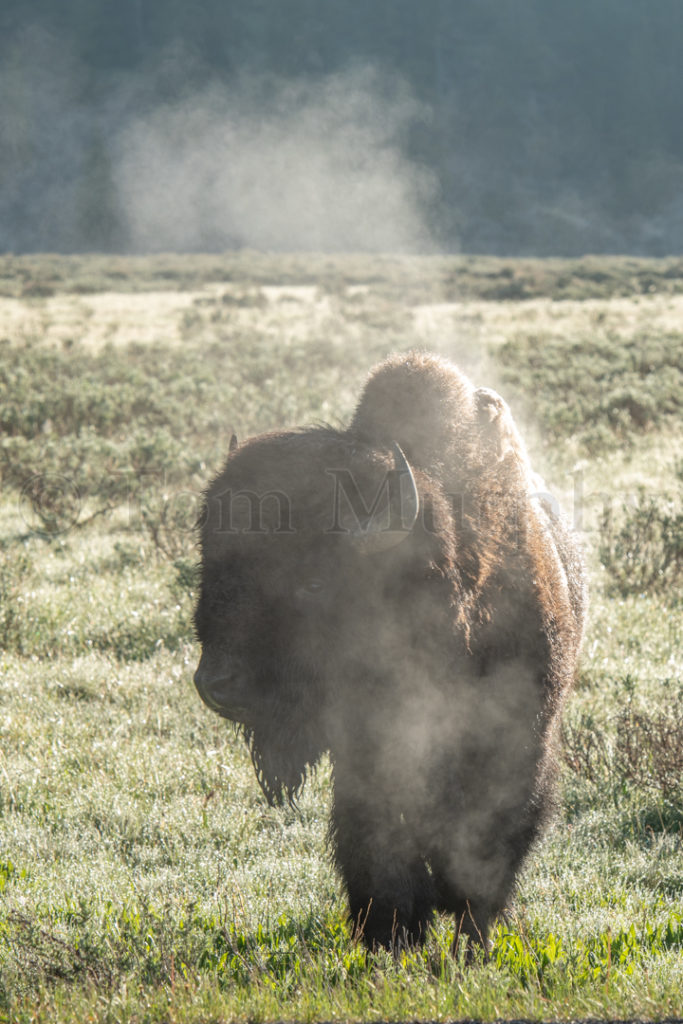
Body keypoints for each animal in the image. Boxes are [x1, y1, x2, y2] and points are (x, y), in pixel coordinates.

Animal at [193, 351, 586, 956]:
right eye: (206, 566)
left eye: (313, 582)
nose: (216, 683)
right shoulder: (366, 756)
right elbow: (378, 846)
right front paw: (393, 934)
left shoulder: (519, 747)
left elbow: (488, 850)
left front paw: (467, 942)